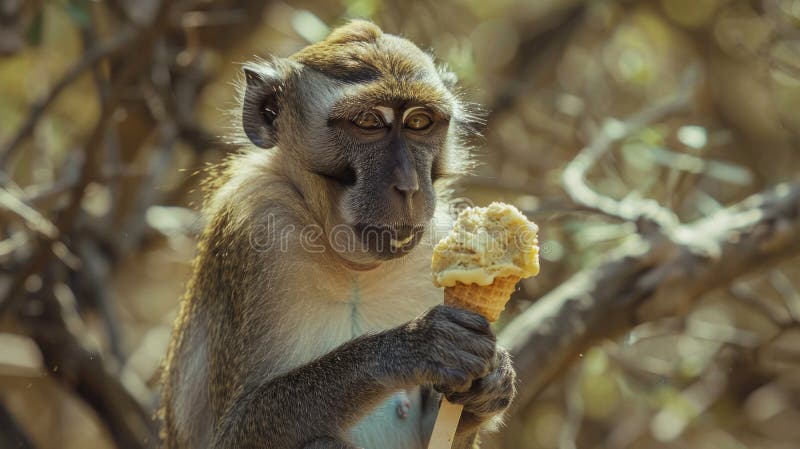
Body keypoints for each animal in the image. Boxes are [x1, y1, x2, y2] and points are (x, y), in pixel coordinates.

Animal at [159, 20, 516, 449]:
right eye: (368, 123)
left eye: (419, 122)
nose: (408, 186)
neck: (351, 265)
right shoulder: (257, 227)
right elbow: (233, 432)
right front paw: (414, 346)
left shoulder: (434, 239)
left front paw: (492, 384)